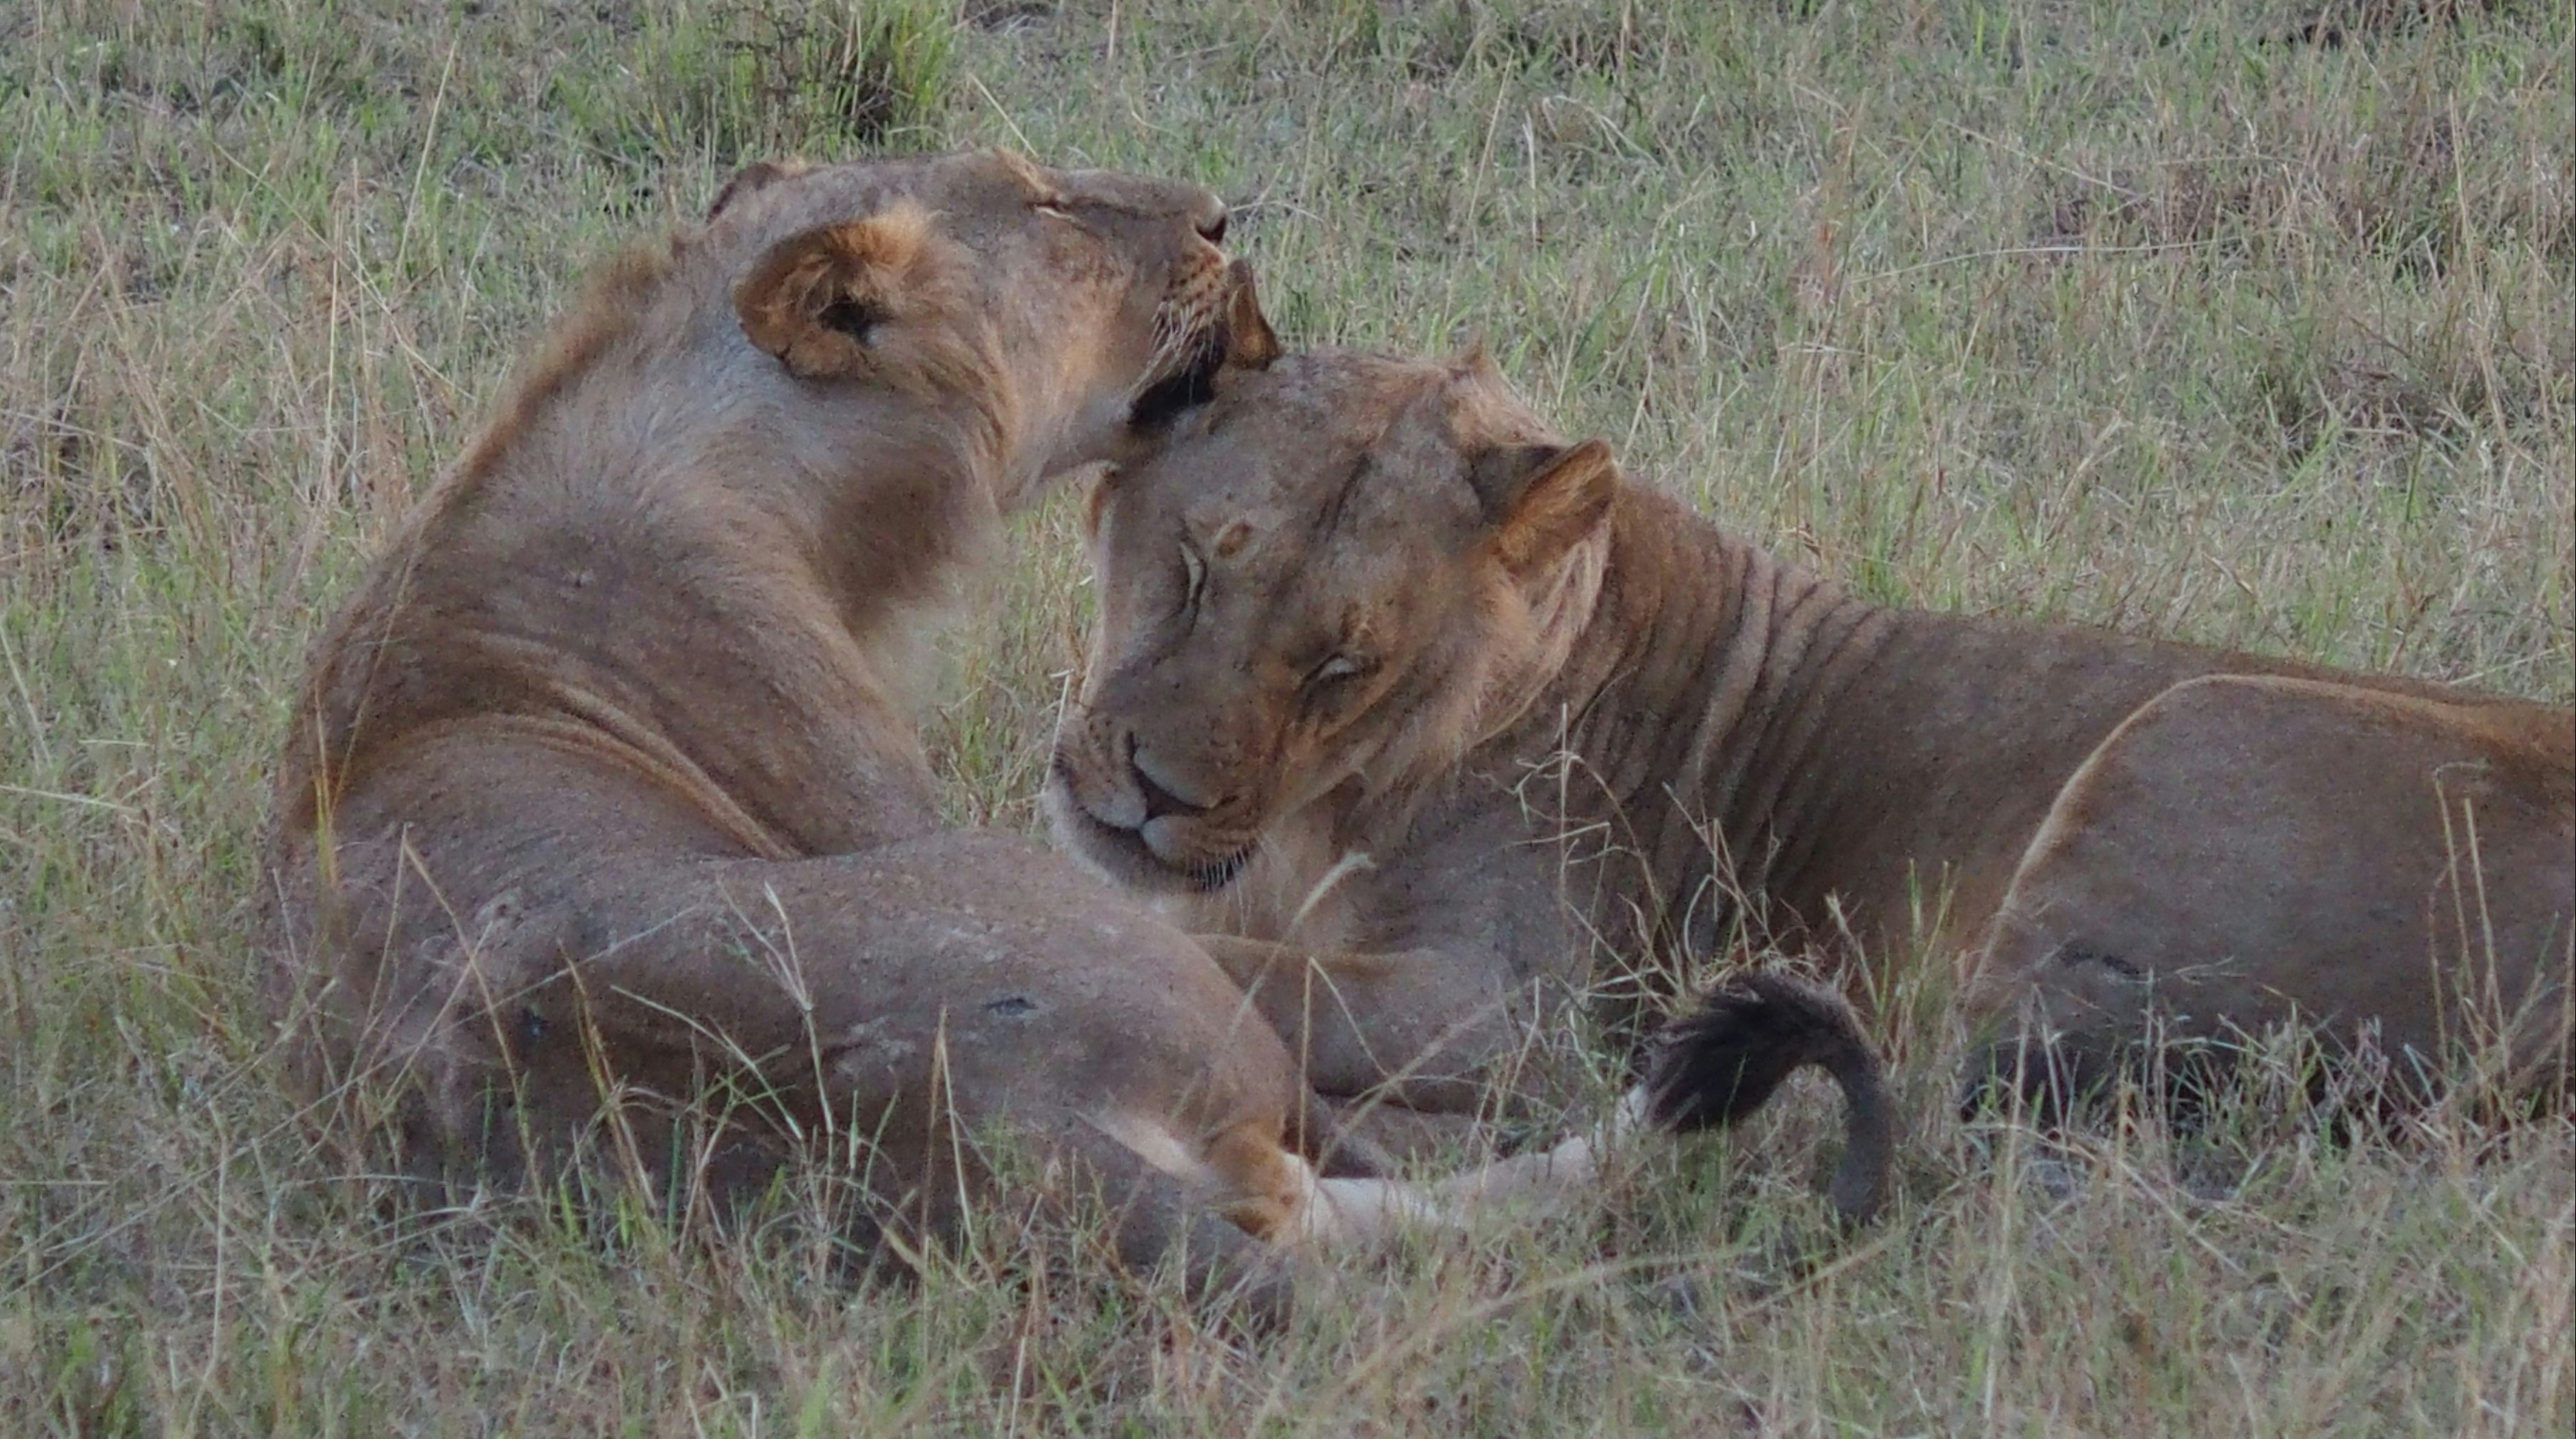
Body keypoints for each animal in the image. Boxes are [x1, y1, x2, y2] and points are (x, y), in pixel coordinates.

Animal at [1045, 345, 2575, 1215]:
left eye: (1341, 665)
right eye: (1194, 569)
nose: (1151, 793)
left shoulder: (1519, 1003)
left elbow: (1253, 977)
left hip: (2182, 731)